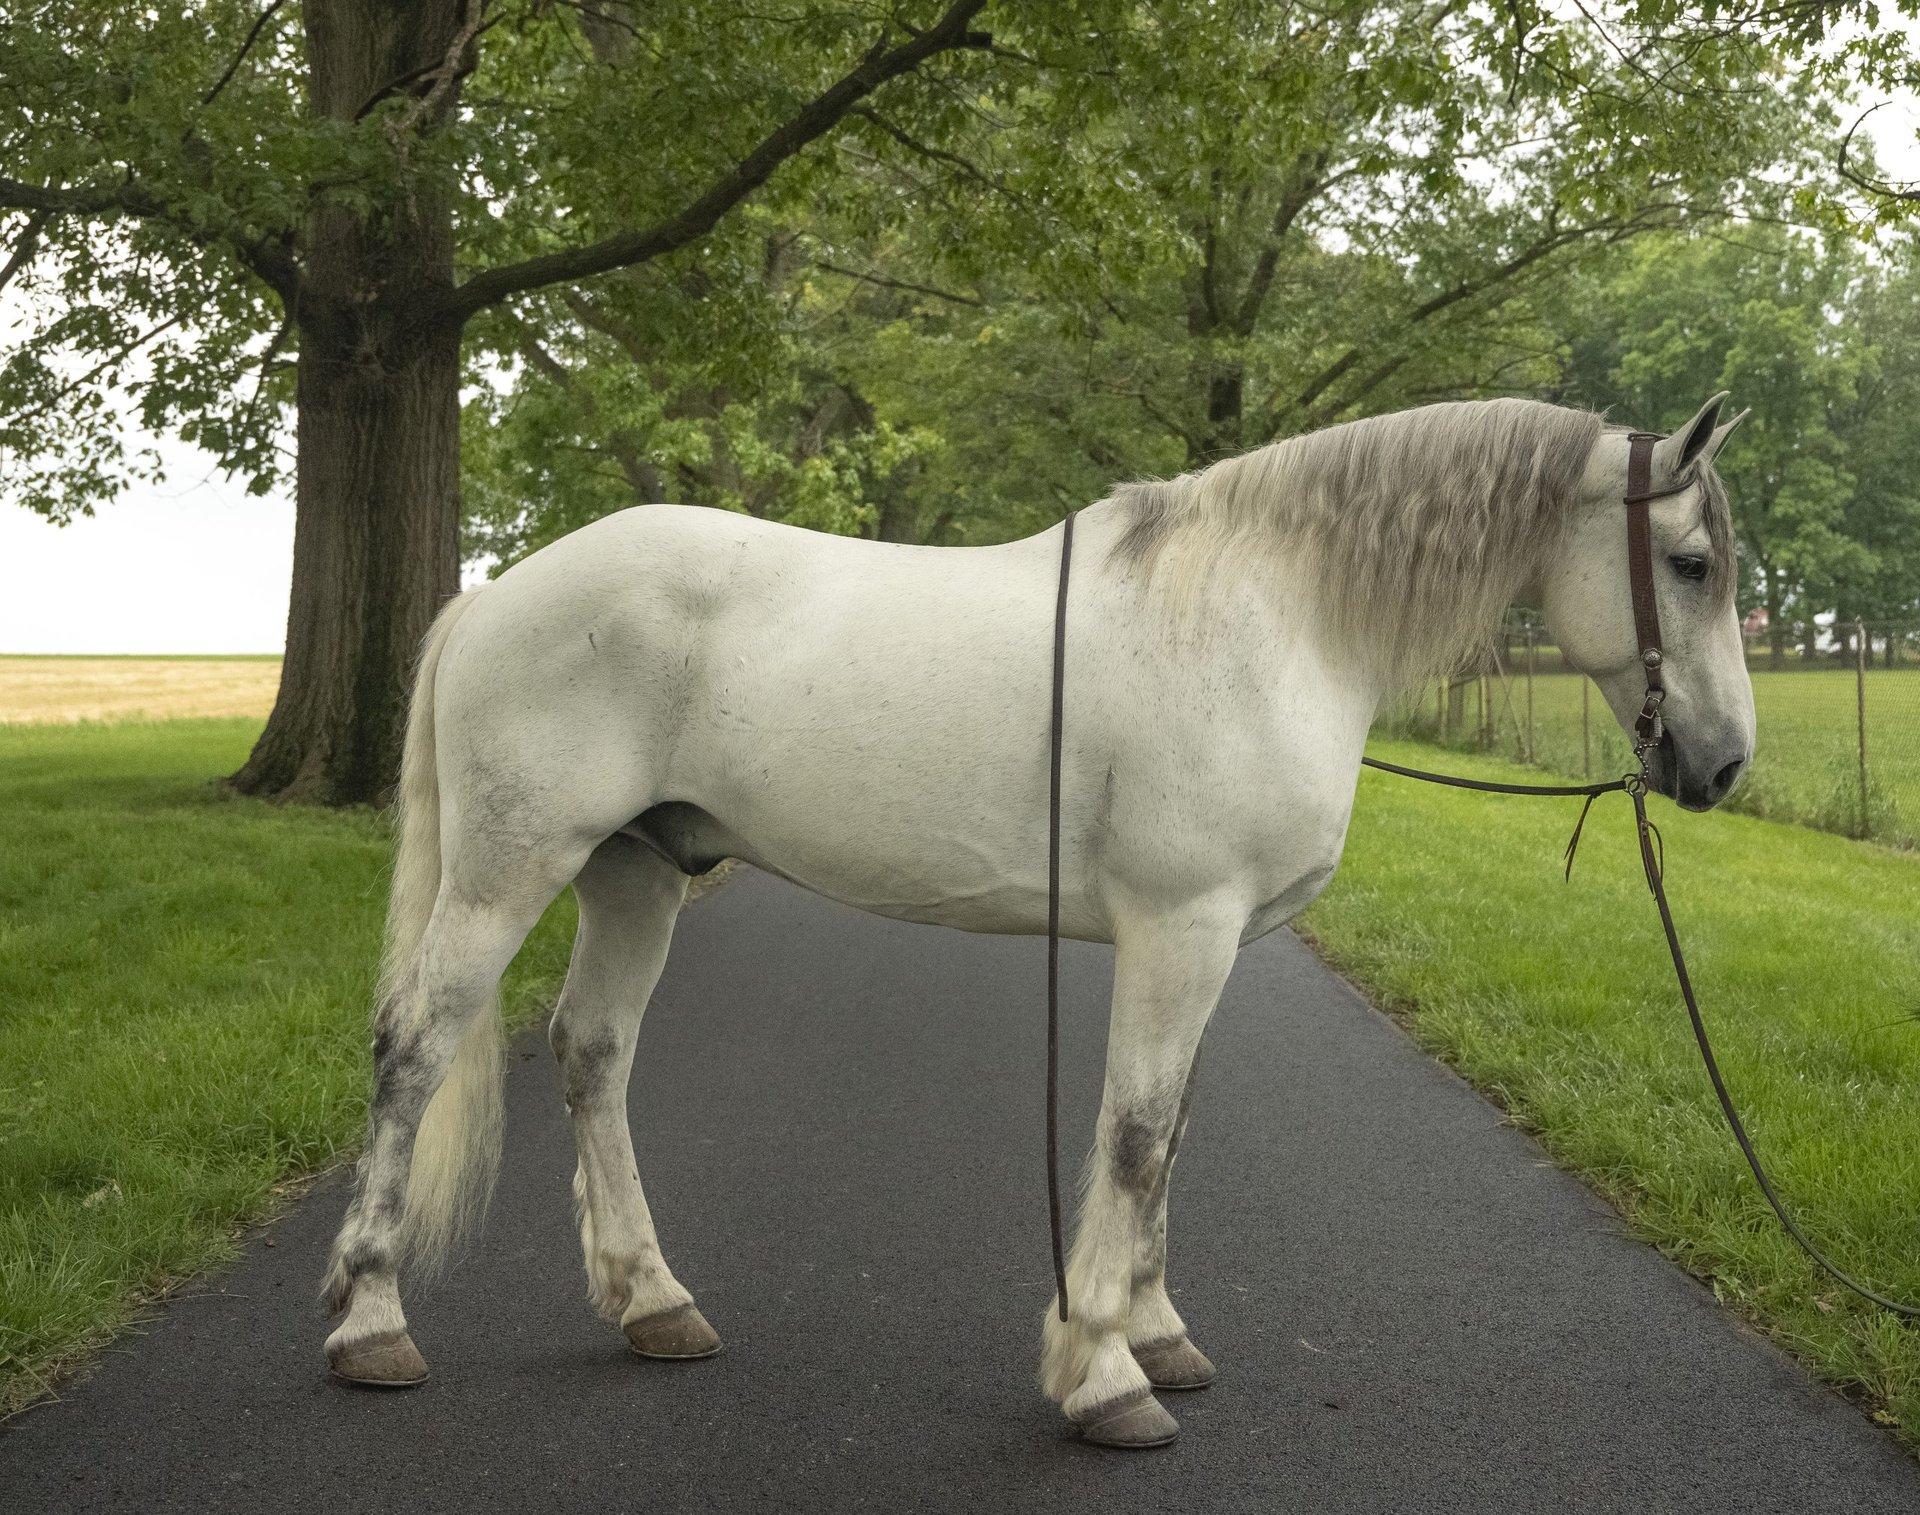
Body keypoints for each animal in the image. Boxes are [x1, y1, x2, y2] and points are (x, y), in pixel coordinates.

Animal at [319, 392, 1754, 1448]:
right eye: (1690, 564)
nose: (1726, 765)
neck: (1266, 617)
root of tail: (496, 596)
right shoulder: (1181, 929)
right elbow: (1133, 1135)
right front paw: (1106, 1372)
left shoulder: (1217, 945)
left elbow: (1173, 1134)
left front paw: (1159, 1334)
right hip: (511, 870)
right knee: (416, 1047)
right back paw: (372, 1322)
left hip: (635, 871)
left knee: (592, 1053)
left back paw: (652, 1301)